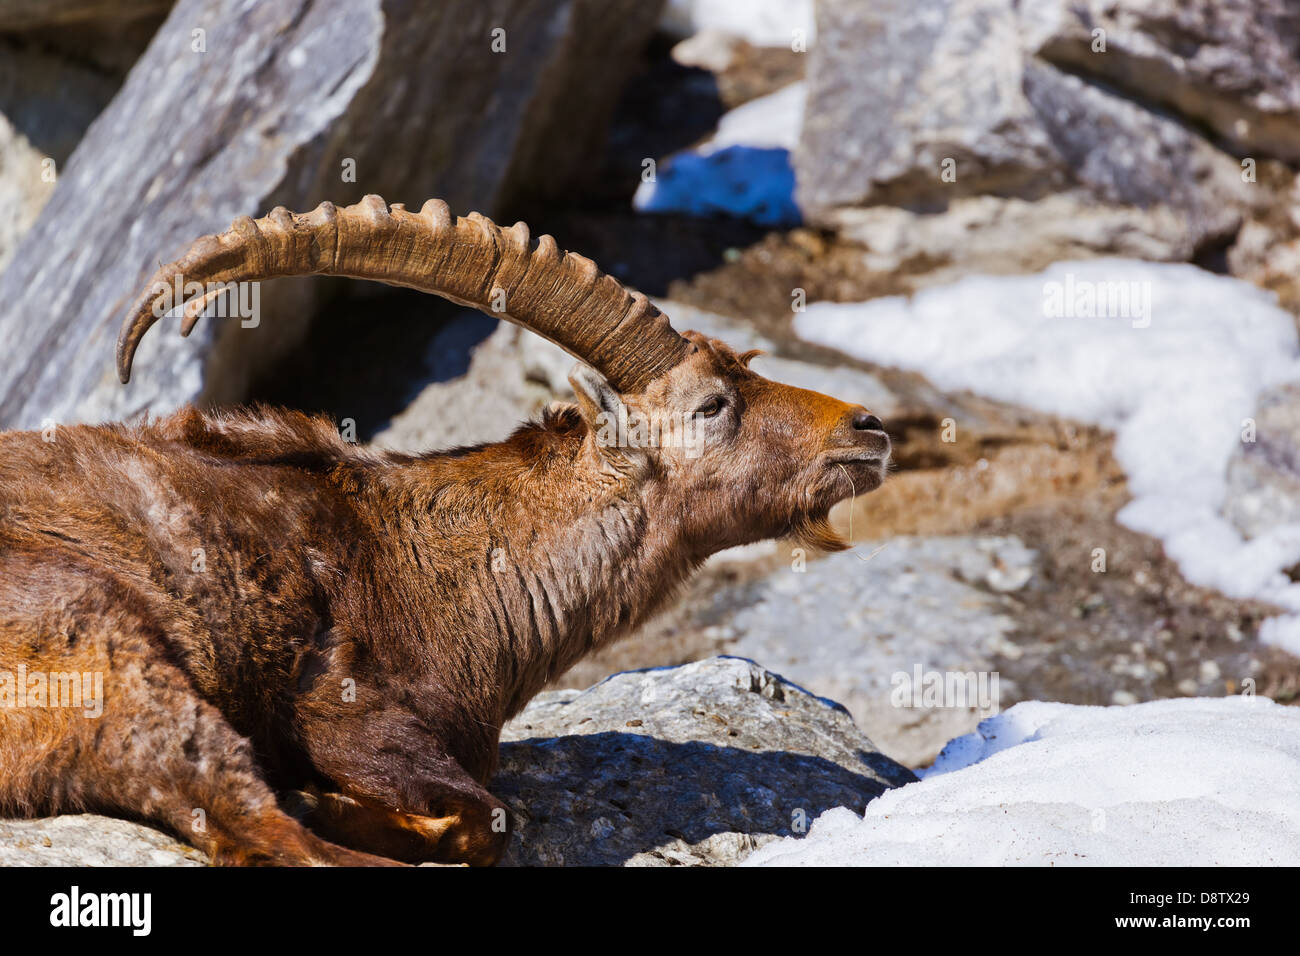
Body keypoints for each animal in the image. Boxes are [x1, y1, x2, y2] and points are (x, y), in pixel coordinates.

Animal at [0, 196, 890, 865]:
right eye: (711, 405)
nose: (869, 427)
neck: (434, 570)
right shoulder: (343, 712)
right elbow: (483, 816)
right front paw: (326, 797)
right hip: (110, 651)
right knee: (258, 830)